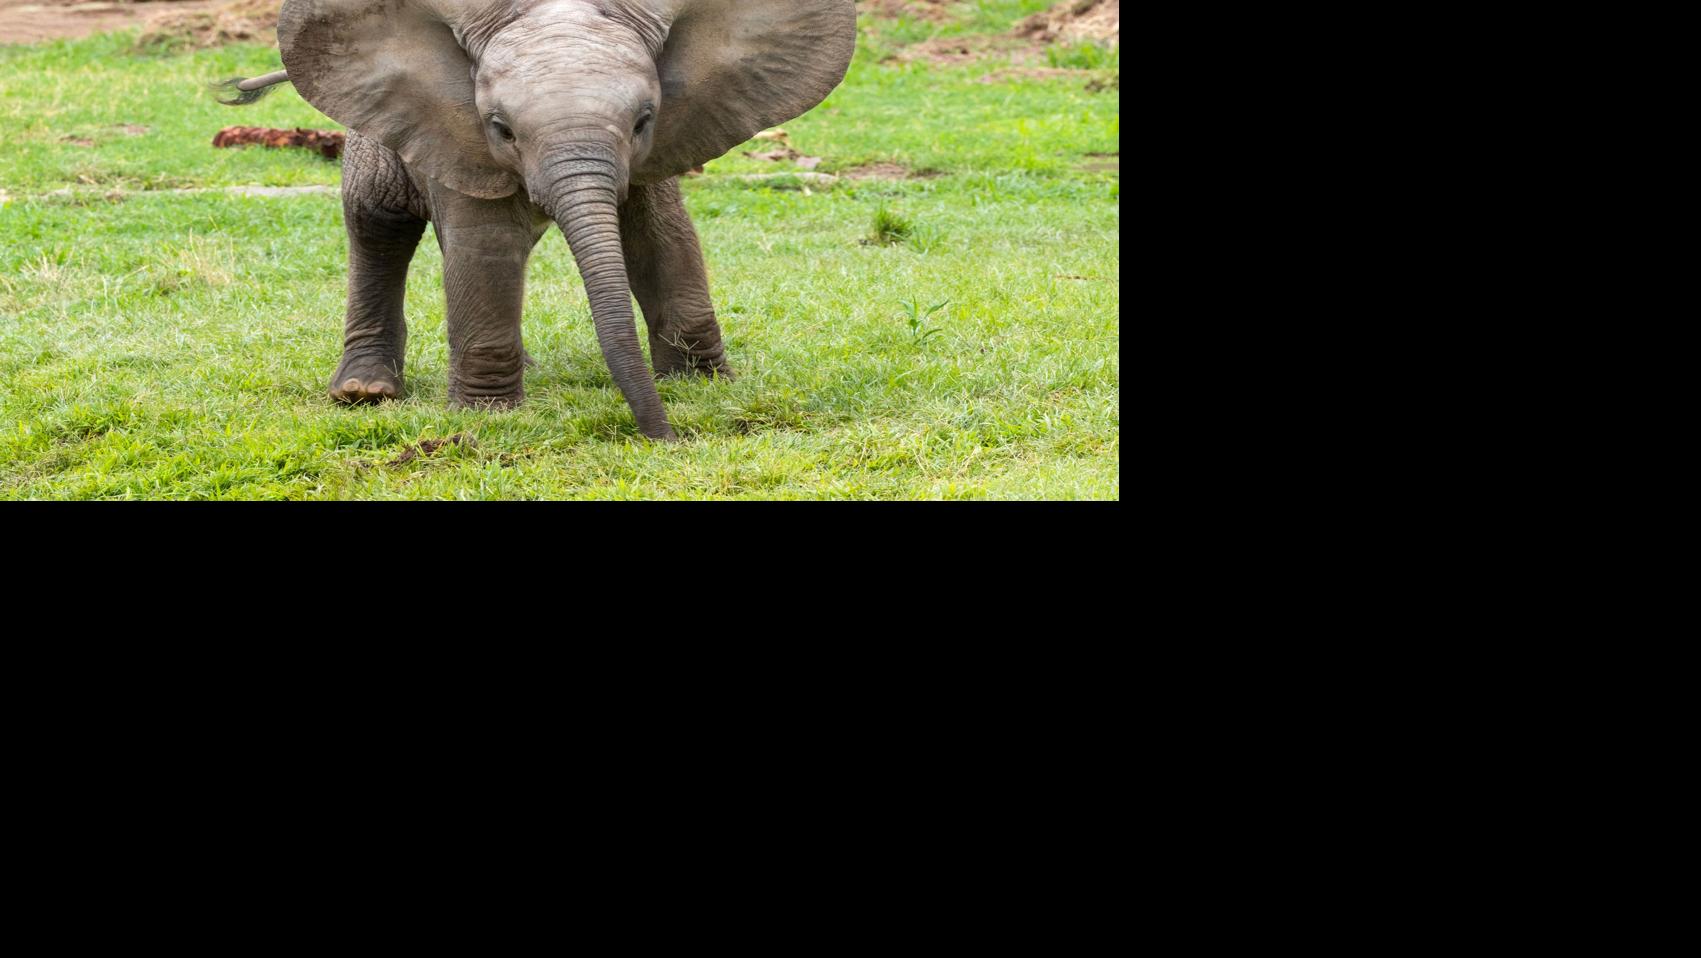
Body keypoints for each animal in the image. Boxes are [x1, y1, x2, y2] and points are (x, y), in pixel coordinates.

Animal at [225, 0, 856, 440]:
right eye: (501, 127)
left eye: (644, 120)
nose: (666, 439)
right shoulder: (453, 130)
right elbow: (485, 244)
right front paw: (488, 416)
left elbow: (661, 235)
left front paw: (702, 386)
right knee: (377, 225)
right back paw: (364, 392)